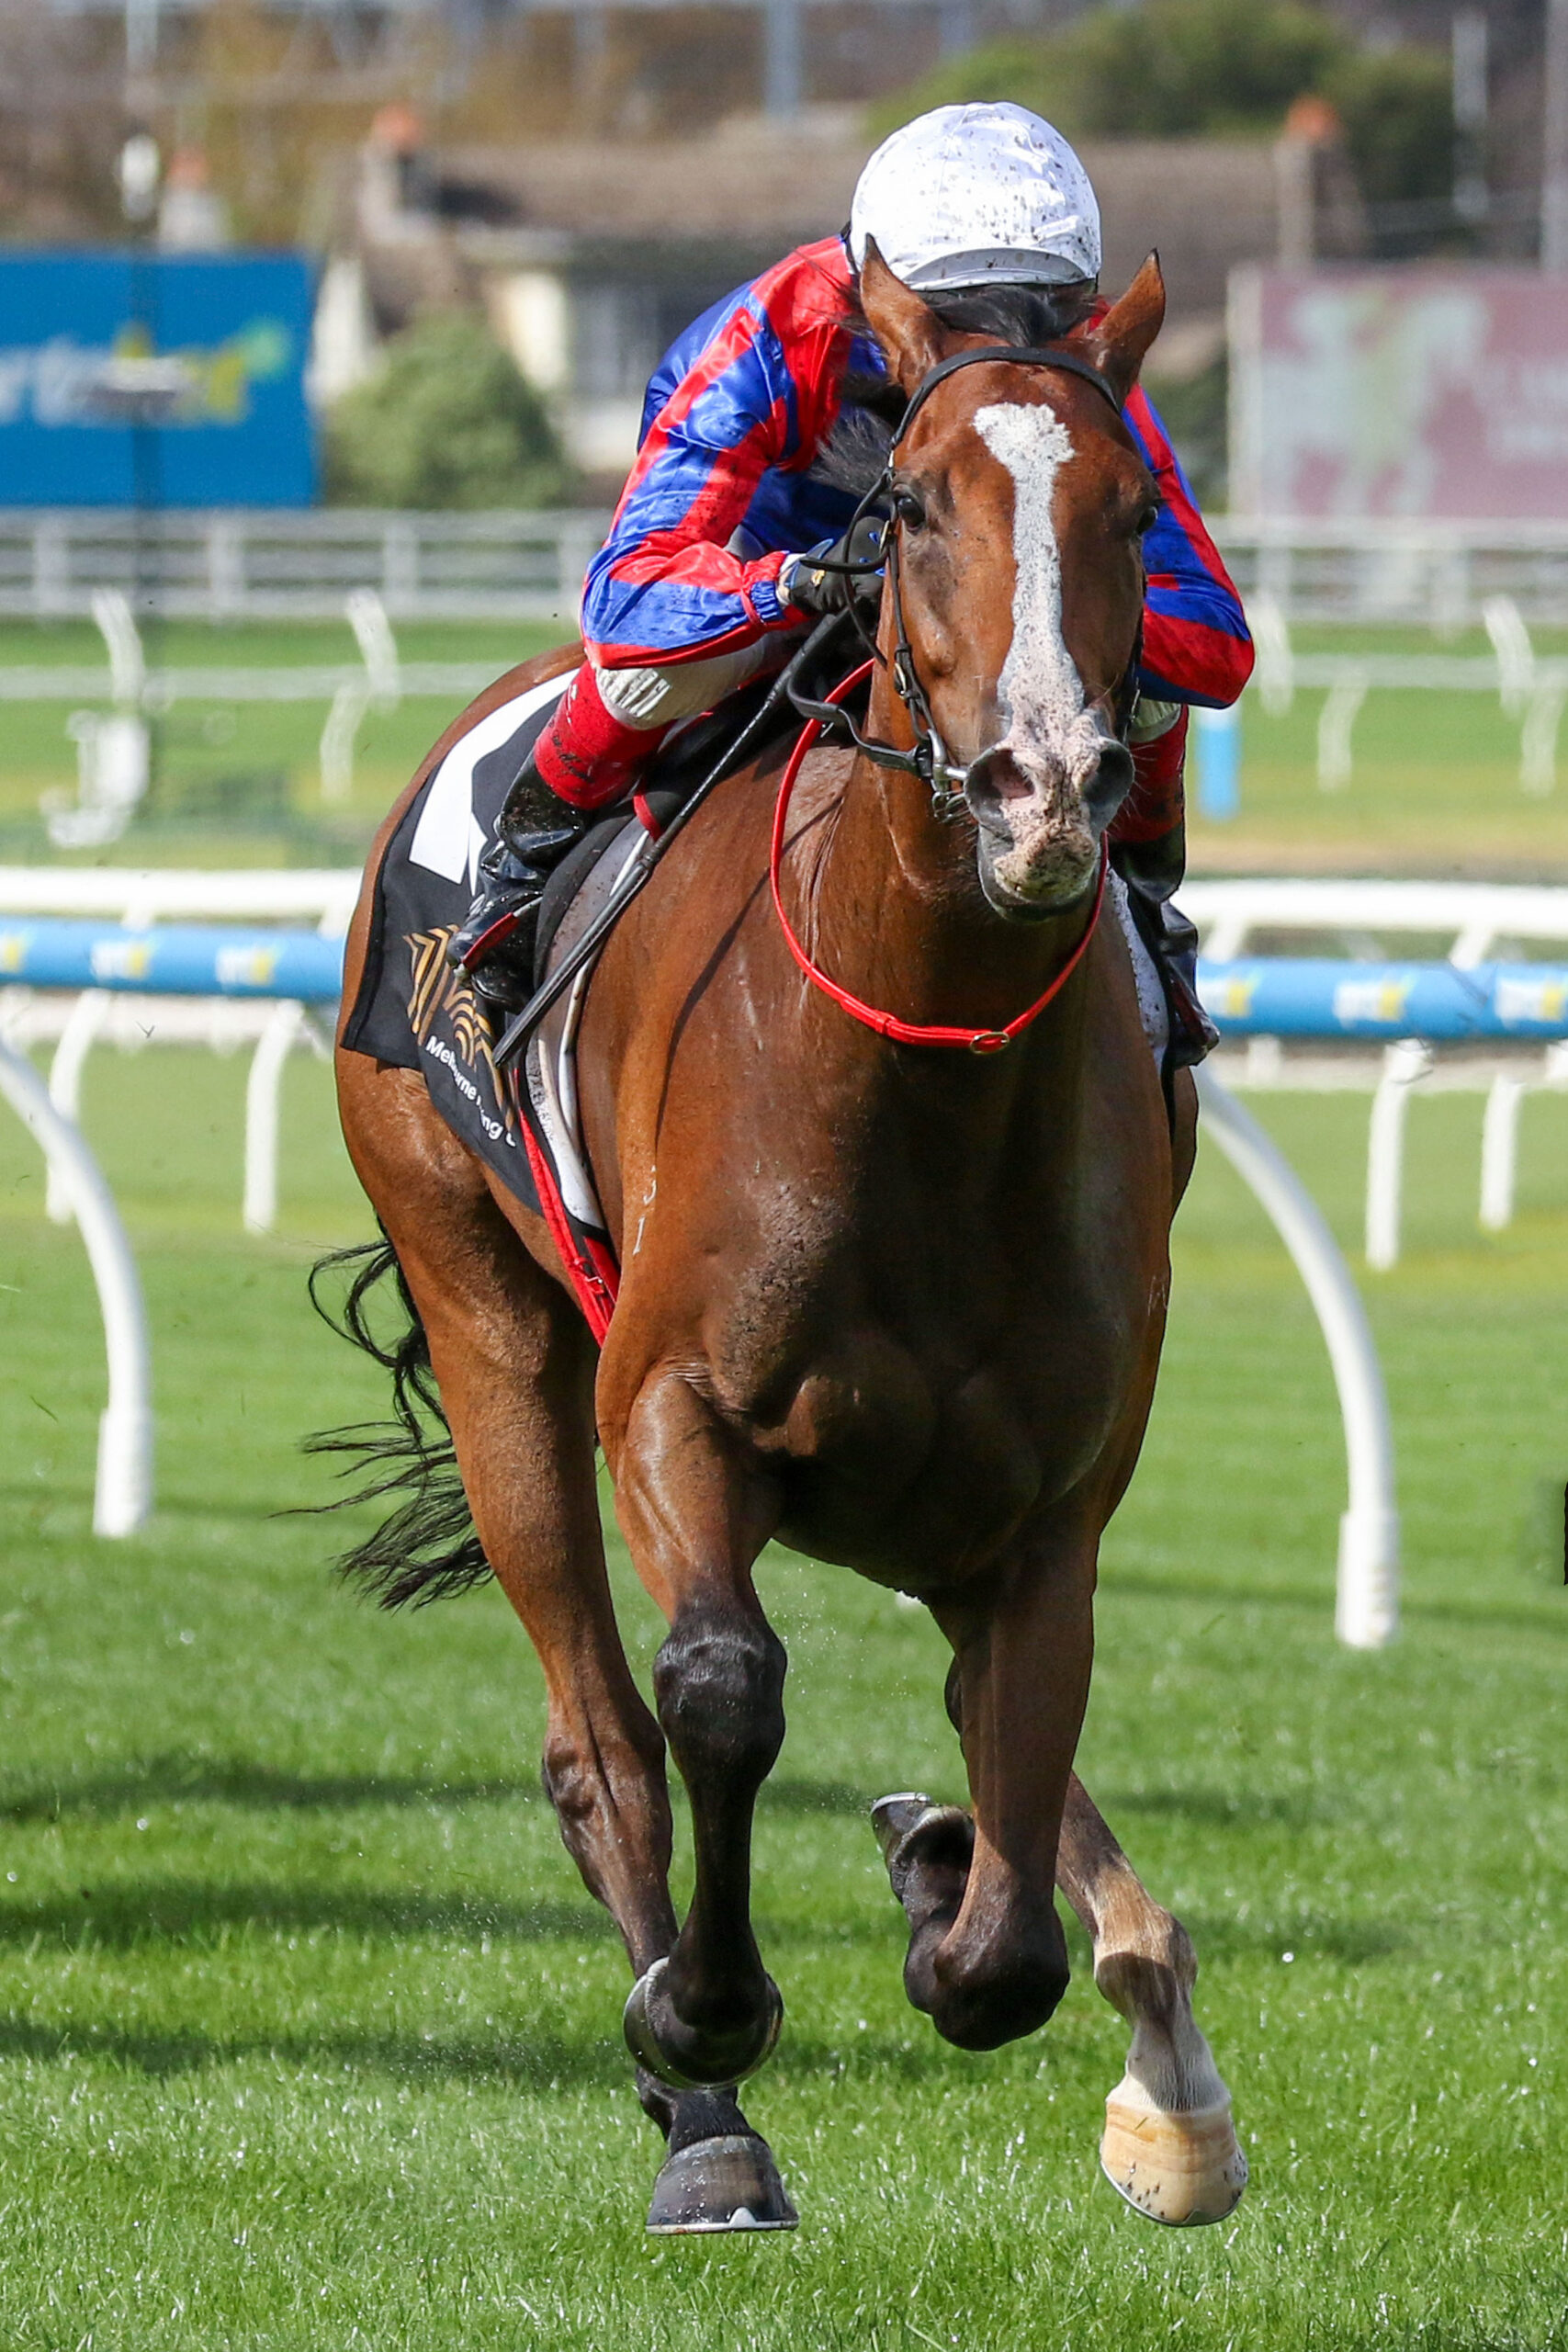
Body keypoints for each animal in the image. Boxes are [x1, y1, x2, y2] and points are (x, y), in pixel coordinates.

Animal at [326, 245, 1248, 2235]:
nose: (1041, 792)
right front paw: (709, 2012)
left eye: (1136, 511)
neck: (928, 1076)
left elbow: (1004, 1907)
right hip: (486, 1307)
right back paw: (706, 2121)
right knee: (600, 1743)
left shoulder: (1043, 1506)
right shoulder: (674, 1406)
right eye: (906, 509)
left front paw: (946, 1876)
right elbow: (719, 1693)